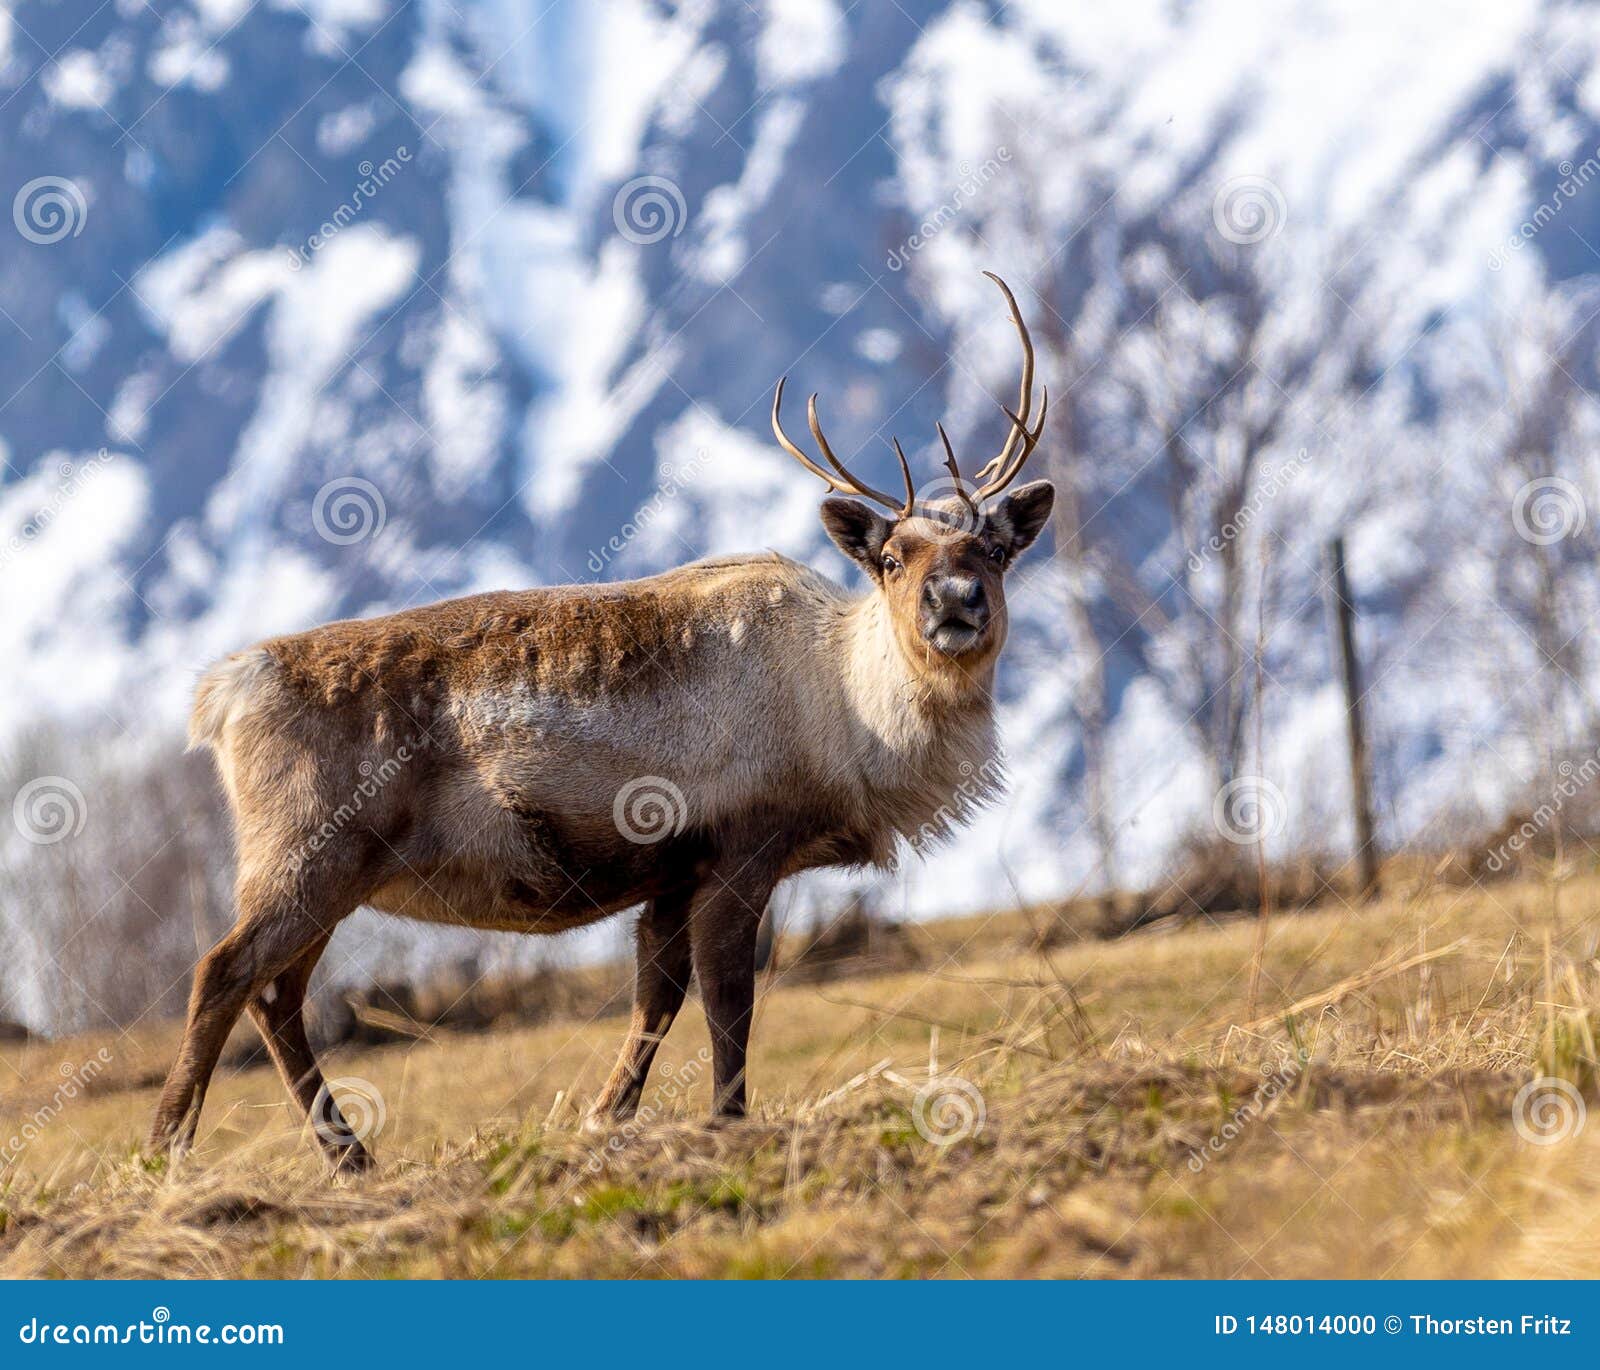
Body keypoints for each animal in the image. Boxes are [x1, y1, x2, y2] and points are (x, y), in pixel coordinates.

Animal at [150, 271, 1054, 1172]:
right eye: (893, 558)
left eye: (995, 550)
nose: (955, 603)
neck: (844, 710)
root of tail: (222, 694)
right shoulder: (741, 847)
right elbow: (727, 1003)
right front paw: (726, 1120)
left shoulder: (674, 874)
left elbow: (658, 998)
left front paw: (604, 1115)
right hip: (308, 850)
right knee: (222, 971)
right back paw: (167, 1149)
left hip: (333, 871)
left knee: (276, 993)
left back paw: (350, 1157)